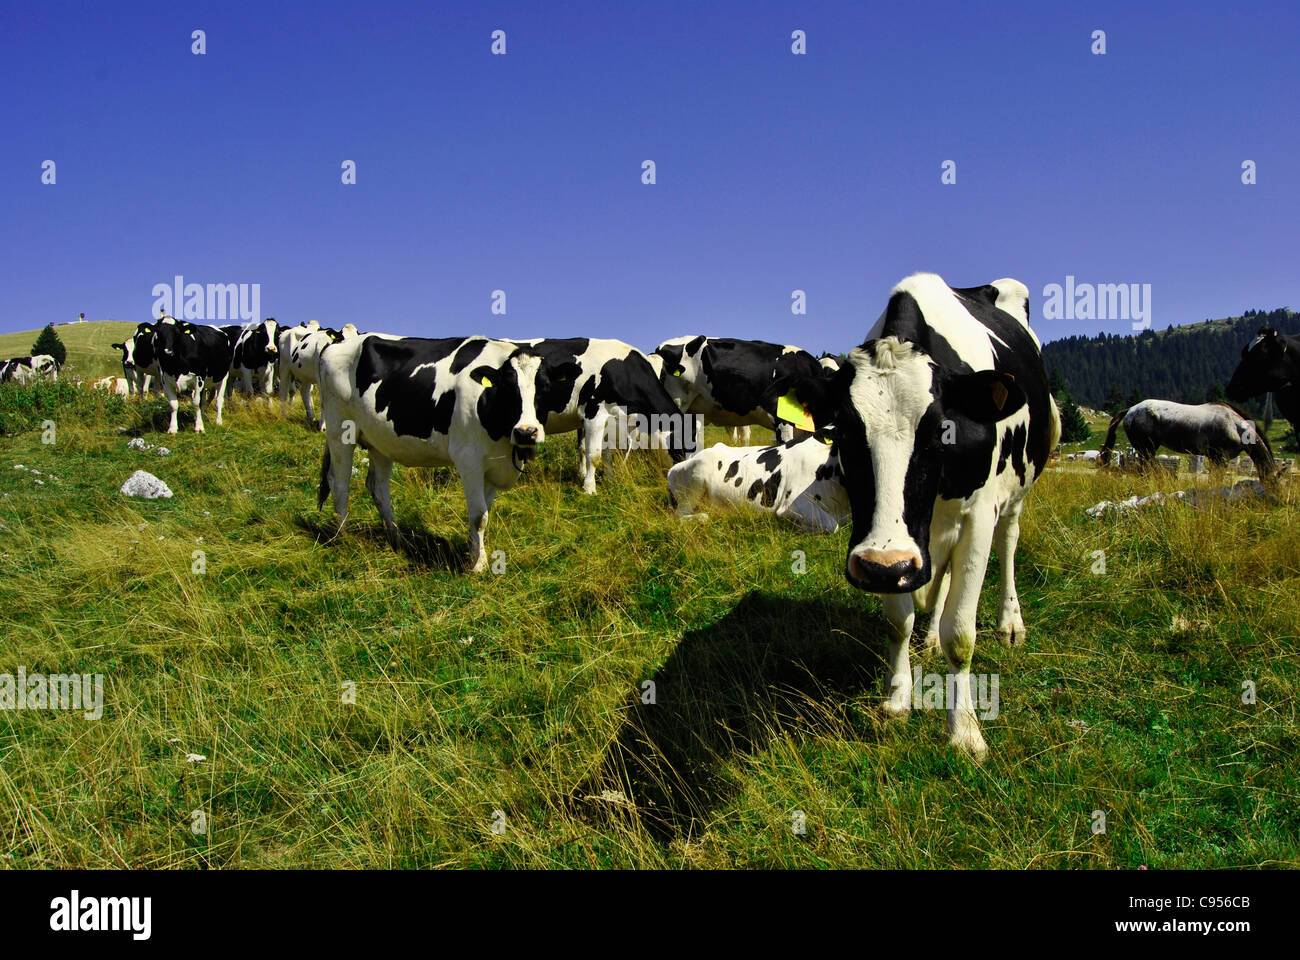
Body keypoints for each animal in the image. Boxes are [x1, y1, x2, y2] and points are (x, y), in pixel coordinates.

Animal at [315, 335, 557, 572]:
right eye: (508, 387)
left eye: (546, 387)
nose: (526, 432)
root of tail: (337, 343)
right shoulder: (468, 458)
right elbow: (479, 516)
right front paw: (477, 565)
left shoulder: (494, 466)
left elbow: (484, 511)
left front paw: (474, 553)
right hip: (339, 428)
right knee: (339, 482)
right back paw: (343, 536)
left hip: (379, 439)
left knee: (378, 486)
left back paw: (396, 539)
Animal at [511, 338, 691, 493]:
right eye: (682, 447)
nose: (683, 482)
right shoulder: (593, 414)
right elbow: (594, 453)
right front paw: (589, 488)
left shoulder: (609, 420)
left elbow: (606, 453)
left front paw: (609, 479)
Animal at [779, 273, 1059, 758]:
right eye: (843, 432)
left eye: (942, 431)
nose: (883, 565)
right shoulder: (891, 552)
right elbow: (899, 620)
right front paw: (898, 698)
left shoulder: (978, 516)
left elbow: (961, 634)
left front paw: (964, 730)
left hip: (1018, 487)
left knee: (1009, 540)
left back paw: (1009, 622)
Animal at [1100, 400, 1281, 477]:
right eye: (1275, 481)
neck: (1235, 426)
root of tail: (1130, 409)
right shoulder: (1218, 458)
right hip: (1146, 448)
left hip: (1146, 449)